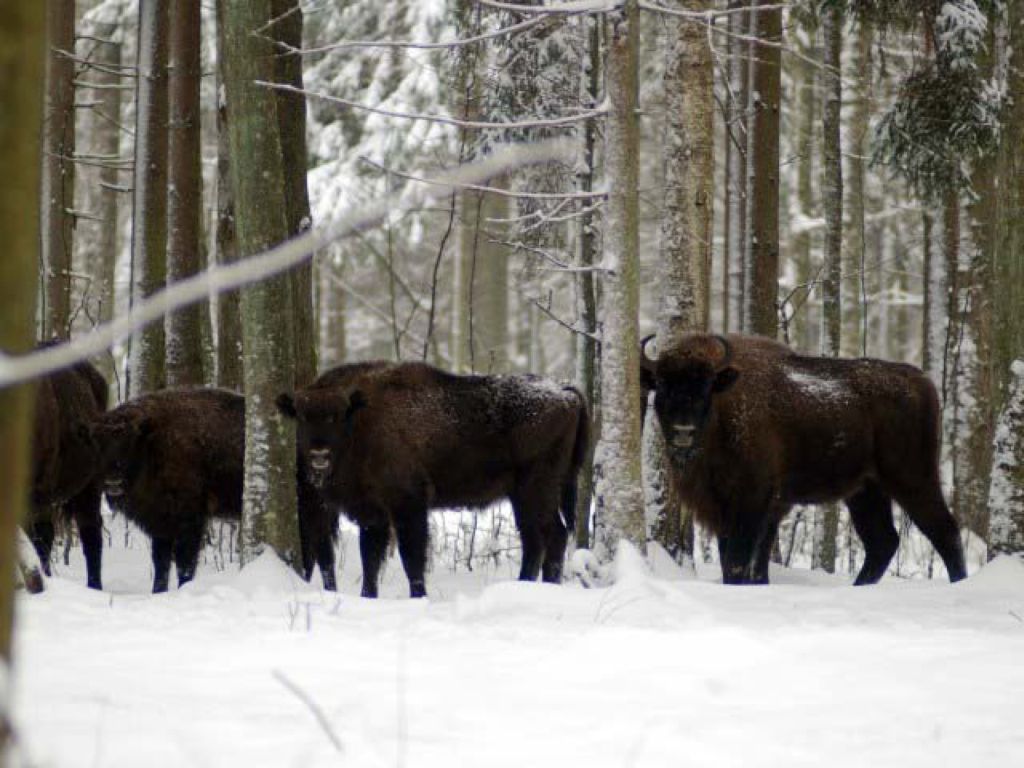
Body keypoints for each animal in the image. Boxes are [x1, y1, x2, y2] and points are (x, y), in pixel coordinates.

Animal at [89, 387, 337, 593]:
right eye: (101, 445)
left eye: (129, 443)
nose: (113, 482)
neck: (154, 443)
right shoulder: (160, 524)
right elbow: (161, 564)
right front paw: (158, 592)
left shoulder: (190, 521)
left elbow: (184, 563)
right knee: (316, 555)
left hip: (312, 512)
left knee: (321, 555)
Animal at [277, 361, 590, 598]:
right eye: (302, 417)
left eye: (337, 416)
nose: (319, 453)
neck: (361, 421)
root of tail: (566, 391)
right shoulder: (372, 514)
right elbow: (371, 560)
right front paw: (368, 597)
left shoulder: (408, 504)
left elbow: (411, 557)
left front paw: (419, 596)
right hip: (523, 495)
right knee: (539, 539)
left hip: (534, 489)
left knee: (550, 536)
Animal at [640, 332, 966, 585]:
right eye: (663, 386)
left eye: (706, 387)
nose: (683, 431)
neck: (724, 407)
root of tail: (923, 382)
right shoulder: (732, 508)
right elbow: (744, 563)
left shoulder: (751, 502)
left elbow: (738, 560)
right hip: (866, 491)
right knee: (883, 542)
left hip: (912, 479)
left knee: (945, 531)